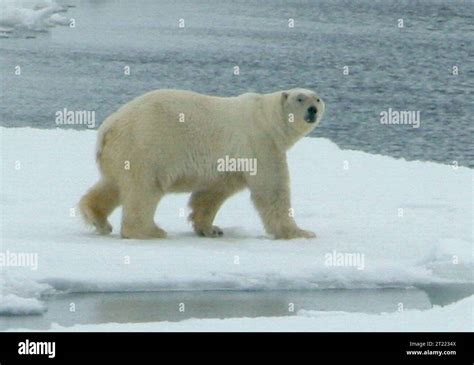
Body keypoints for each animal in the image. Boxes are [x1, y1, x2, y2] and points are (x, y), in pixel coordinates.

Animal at [79, 88, 326, 239]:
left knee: (112, 184)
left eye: (317, 98)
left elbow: (214, 191)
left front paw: (210, 228)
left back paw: (98, 219)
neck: (267, 117)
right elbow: (272, 189)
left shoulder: (231, 161)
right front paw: (300, 232)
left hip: (120, 153)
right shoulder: (260, 142)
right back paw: (149, 230)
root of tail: (108, 127)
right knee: (144, 189)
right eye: (300, 98)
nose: (313, 109)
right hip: (146, 147)